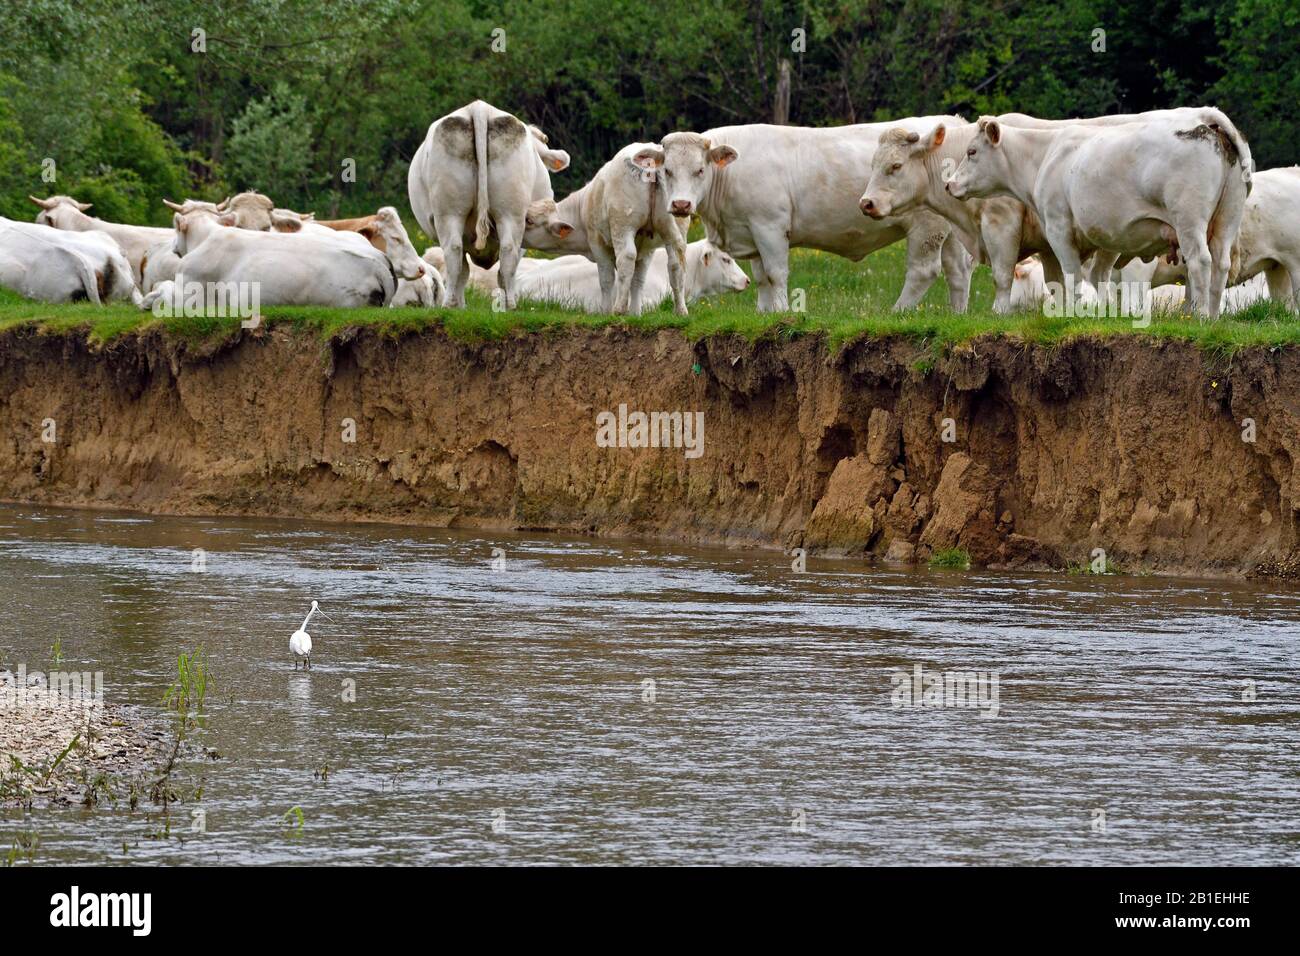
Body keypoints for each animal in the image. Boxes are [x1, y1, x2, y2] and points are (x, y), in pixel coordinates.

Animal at [408, 101, 573, 309]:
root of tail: (479, 107)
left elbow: (466, 271)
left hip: (451, 213)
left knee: (457, 254)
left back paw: (452, 304)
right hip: (509, 213)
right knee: (505, 254)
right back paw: (507, 305)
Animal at [652, 120, 974, 313]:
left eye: (700, 170)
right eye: (666, 170)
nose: (680, 205)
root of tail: (956, 123)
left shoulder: (769, 226)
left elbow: (775, 274)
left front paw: (781, 313)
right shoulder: (750, 229)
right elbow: (761, 278)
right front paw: (763, 314)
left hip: (926, 225)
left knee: (923, 271)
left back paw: (897, 313)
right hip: (949, 227)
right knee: (958, 270)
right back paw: (957, 315)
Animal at [948, 110, 1252, 318]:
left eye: (971, 151)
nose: (950, 184)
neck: (1046, 154)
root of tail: (1207, 123)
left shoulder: (1058, 227)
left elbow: (1071, 277)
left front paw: (1074, 314)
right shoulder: (1101, 237)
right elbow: (1084, 279)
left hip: (1189, 219)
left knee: (1200, 261)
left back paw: (1199, 315)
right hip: (1228, 218)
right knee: (1220, 264)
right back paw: (1212, 316)